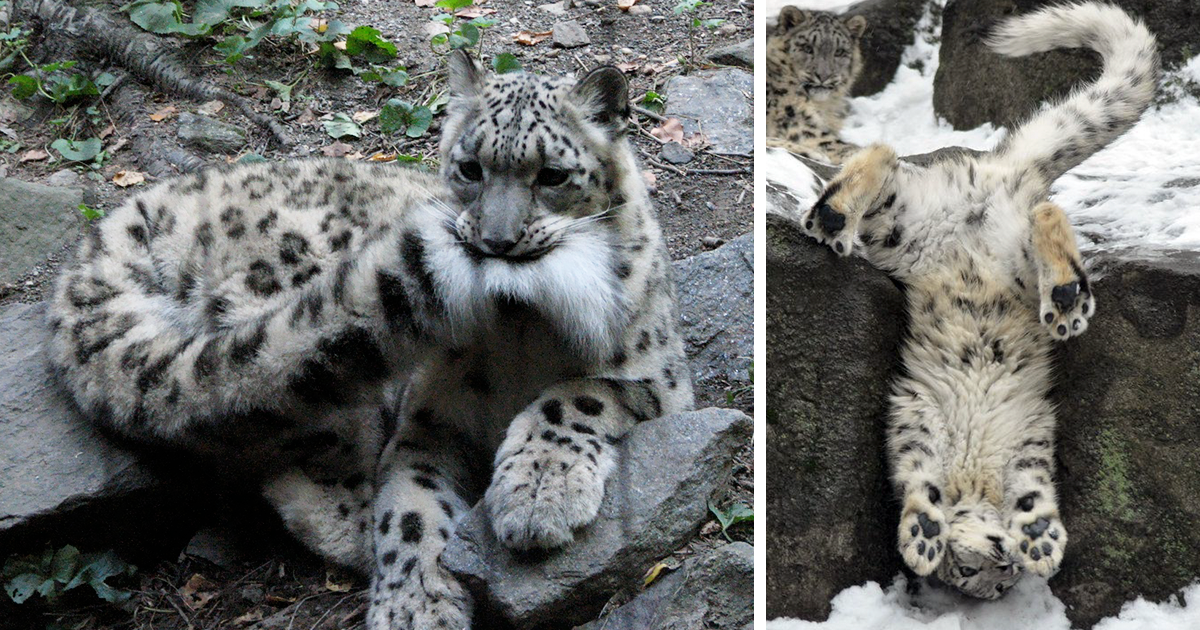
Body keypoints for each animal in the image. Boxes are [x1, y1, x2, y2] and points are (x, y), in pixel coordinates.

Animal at [47, 50, 694, 629]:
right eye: (470, 168)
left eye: (553, 175)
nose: (496, 240)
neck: (521, 329)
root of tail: (127, 215)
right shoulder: (429, 422)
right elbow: (409, 510)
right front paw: (415, 606)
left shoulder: (662, 379)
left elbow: (580, 393)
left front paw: (537, 496)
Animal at [793, 2, 1158, 599]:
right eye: (969, 576)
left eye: (997, 584)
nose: (1005, 569)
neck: (976, 476)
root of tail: (993, 171)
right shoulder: (915, 421)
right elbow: (917, 477)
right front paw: (922, 534)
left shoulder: (1029, 439)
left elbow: (1032, 486)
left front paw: (1039, 538)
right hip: (908, 224)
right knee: (896, 160)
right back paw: (835, 213)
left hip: (977, 246)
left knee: (1031, 210)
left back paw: (1065, 298)